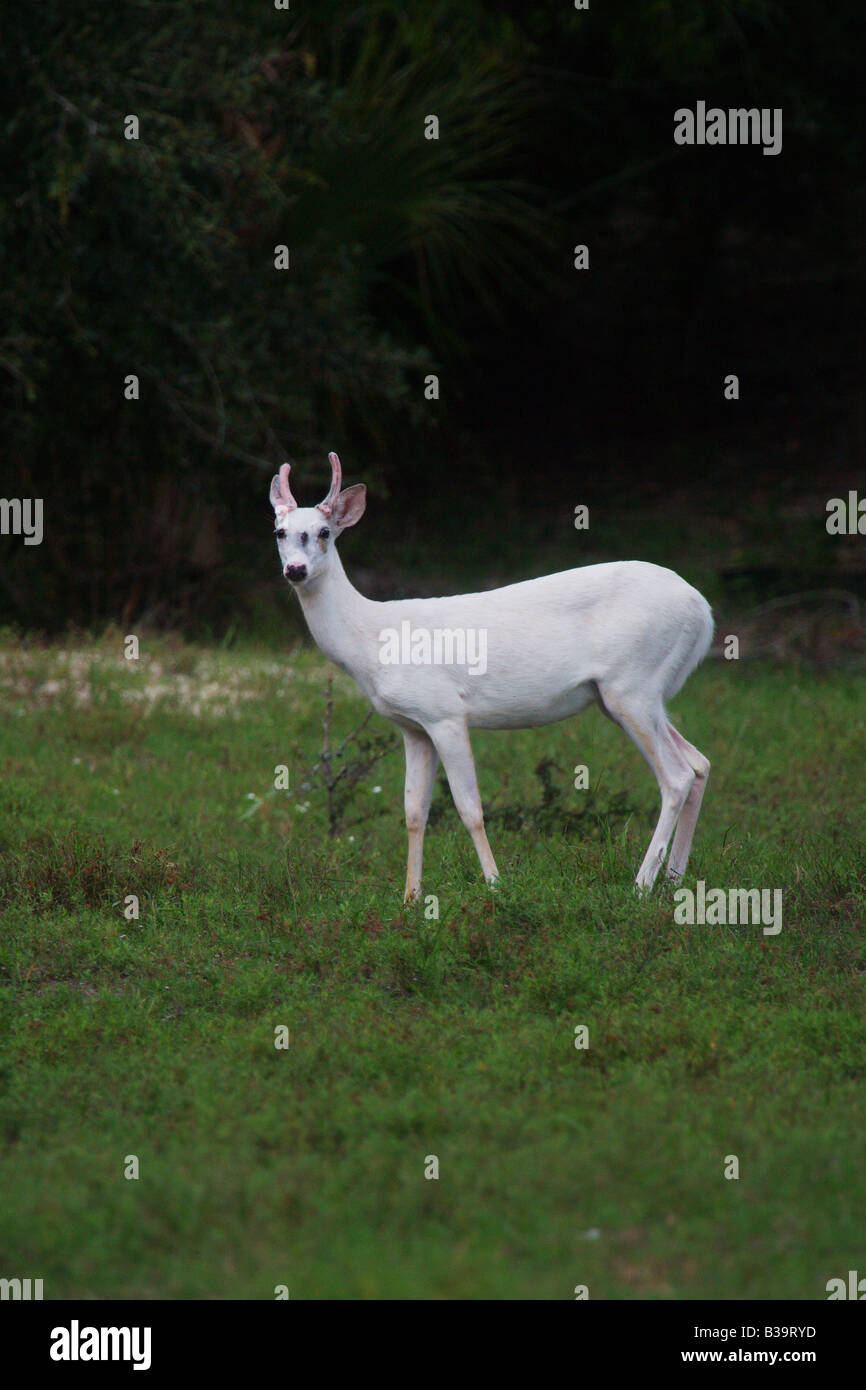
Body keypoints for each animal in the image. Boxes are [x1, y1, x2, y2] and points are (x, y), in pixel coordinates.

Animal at [271, 452, 712, 902]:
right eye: (279, 531)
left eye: (324, 532)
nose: (295, 570)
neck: (372, 640)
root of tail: (703, 609)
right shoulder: (412, 726)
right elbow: (413, 811)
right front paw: (411, 898)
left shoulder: (444, 713)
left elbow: (470, 809)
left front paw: (496, 885)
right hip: (630, 695)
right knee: (698, 764)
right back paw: (673, 880)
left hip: (632, 683)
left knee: (676, 776)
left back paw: (641, 886)